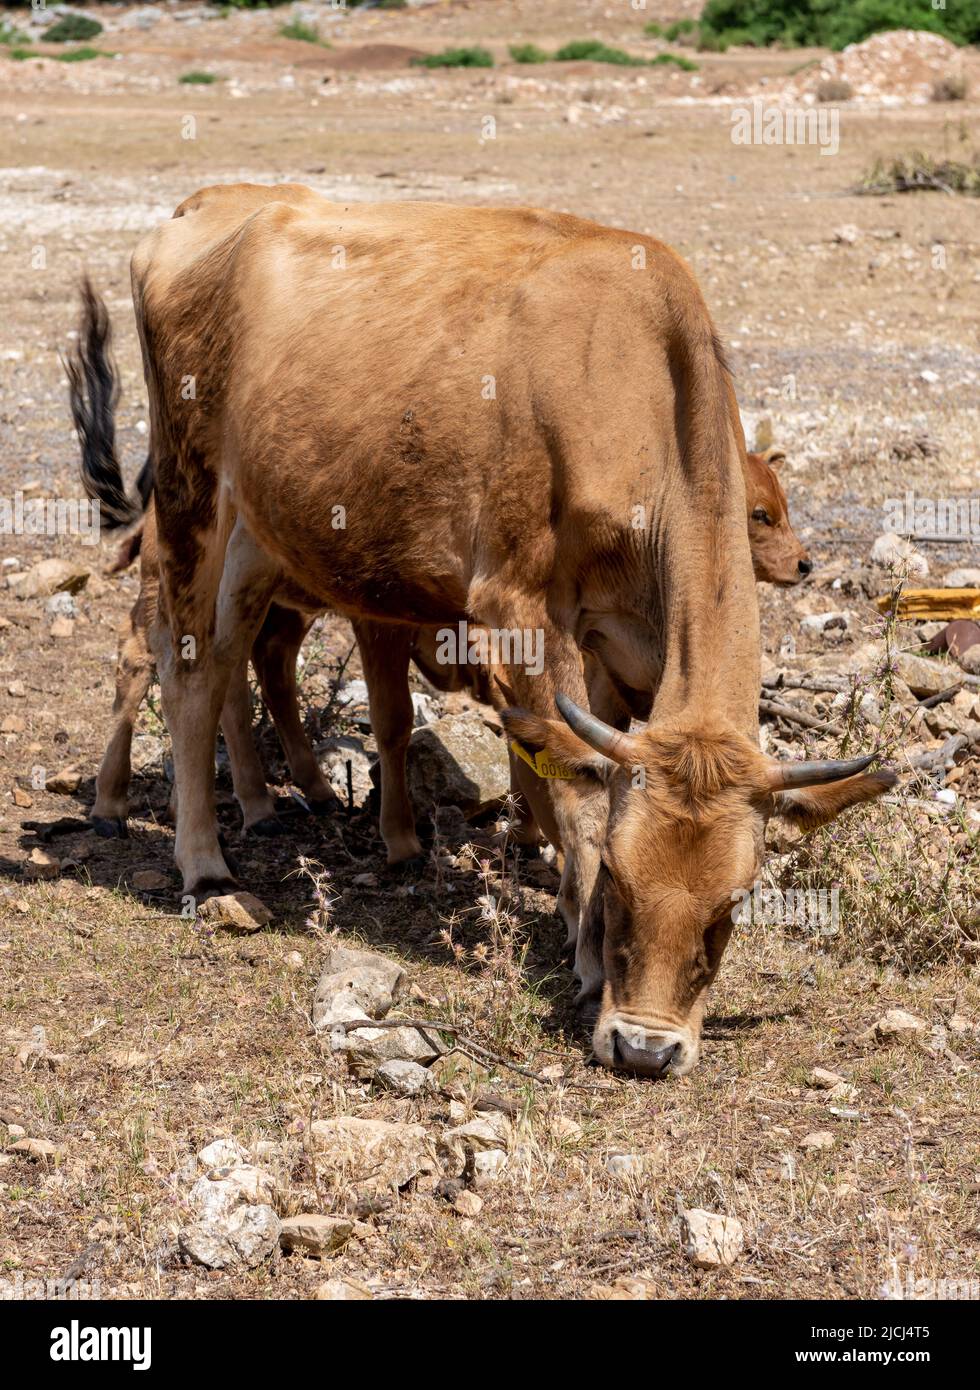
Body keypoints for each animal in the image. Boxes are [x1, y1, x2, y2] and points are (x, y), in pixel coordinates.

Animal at [86, 182, 894, 1076]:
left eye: (731, 905)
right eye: (621, 884)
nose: (646, 1049)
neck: (630, 384)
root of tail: (206, 208)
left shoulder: (622, 650)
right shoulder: (520, 609)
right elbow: (576, 786)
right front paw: (584, 950)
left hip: (257, 543)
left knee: (229, 661)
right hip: (191, 501)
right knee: (187, 671)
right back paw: (201, 863)